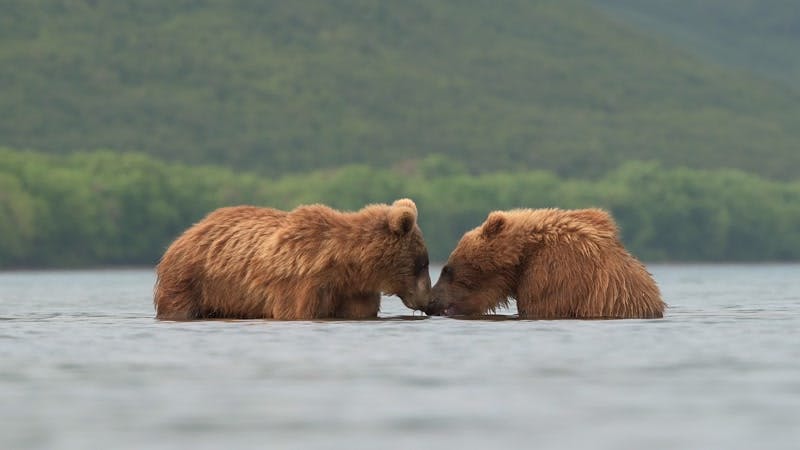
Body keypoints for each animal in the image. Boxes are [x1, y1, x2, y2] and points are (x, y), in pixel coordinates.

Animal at [154, 199, 432, 320]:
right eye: (423, 263)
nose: (428, 301)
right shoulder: (301, 284)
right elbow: (297, 310)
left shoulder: (354, 292)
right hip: (192, 280)